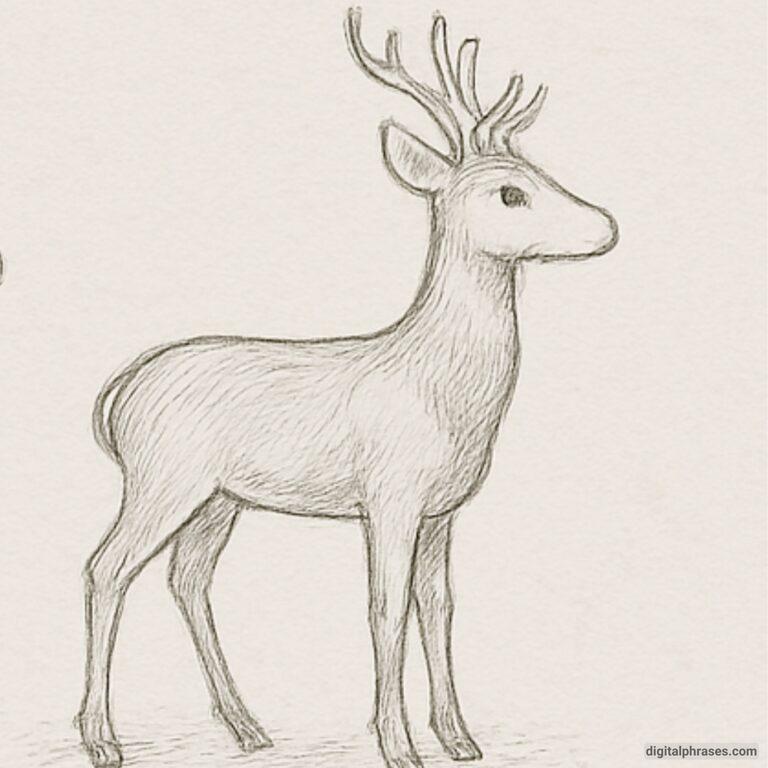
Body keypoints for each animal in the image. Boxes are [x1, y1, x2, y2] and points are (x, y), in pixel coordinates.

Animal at [76, 8, 618, 768]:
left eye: (542, 170)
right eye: (510, 191)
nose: (607, 225)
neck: (443, 389)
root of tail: (116, 396)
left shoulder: (443, 509)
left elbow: (438, 607)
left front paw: (460, 738)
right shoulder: (389, 496)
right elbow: (385, 608)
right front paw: (399, 745)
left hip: (218, 498)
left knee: (186, 578)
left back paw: (247, 727)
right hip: (163, 478)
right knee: (106, 568)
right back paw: (103, 738)